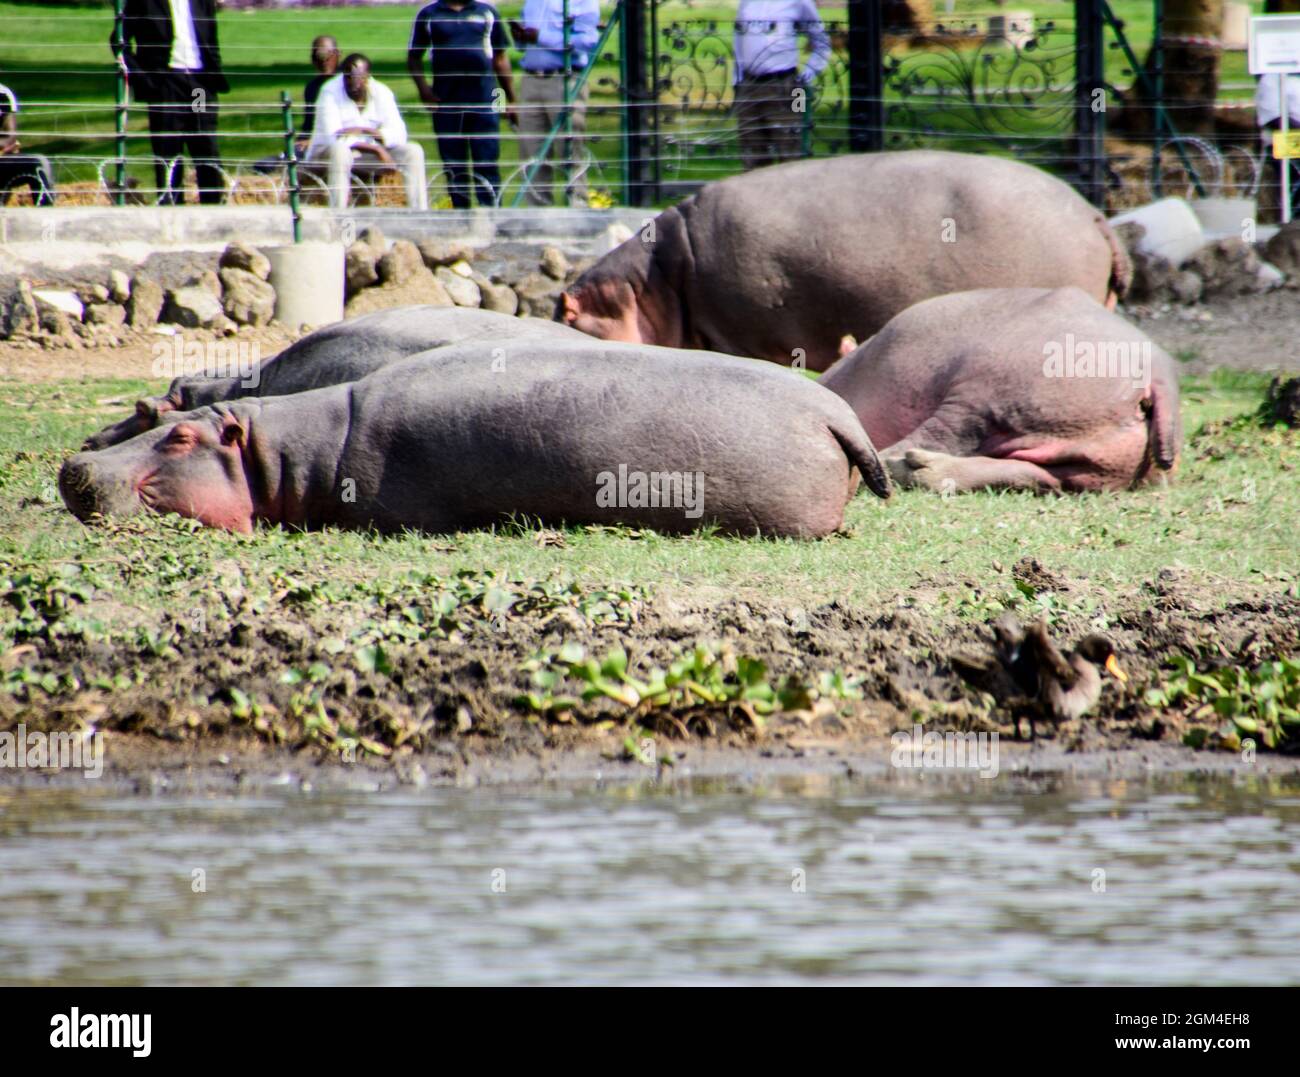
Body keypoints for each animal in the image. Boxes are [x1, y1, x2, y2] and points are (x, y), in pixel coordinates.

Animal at [819, 287, 1181, 493]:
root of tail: (1160, 372)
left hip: (987, 390)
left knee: (939, 435)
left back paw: (895, 465)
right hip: (1090, 464)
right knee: (1038, 476)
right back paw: (919, 468)